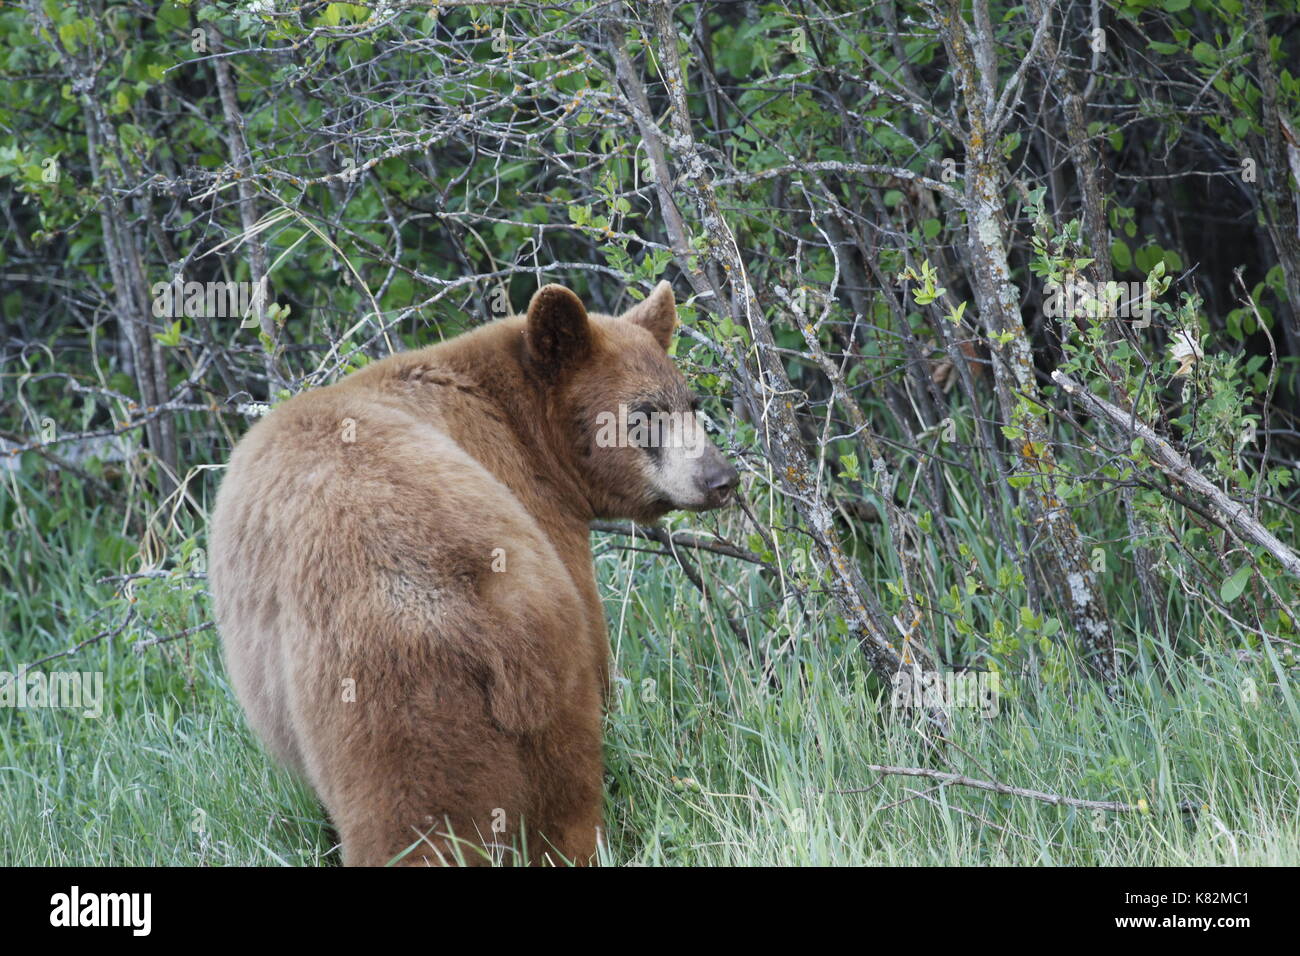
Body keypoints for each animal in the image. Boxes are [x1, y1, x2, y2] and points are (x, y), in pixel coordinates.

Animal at [208, 280, 738, 866]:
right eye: (645, 413)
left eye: (691, 404)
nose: (721, 478)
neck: (518, 424)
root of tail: (486, 616)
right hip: (523, 687)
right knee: (563, 800)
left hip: (400, 711)